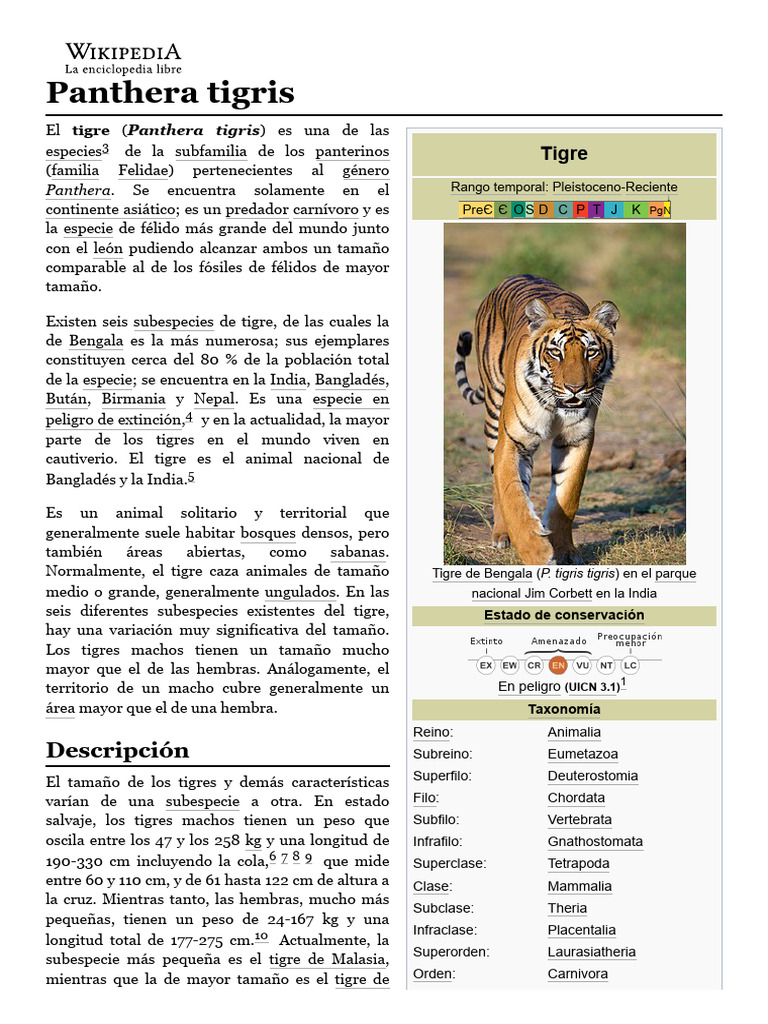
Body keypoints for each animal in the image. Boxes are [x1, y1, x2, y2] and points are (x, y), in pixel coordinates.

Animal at [455, 274, 619, 565]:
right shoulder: (512, 440)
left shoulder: (576, 440)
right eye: (556, 352)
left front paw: (565, 551)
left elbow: (567, 498)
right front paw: (536, 552)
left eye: (591, 352)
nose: (575, 388)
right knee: (497, 480)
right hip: (494, 413)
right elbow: (513, 496)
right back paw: (502, 534)